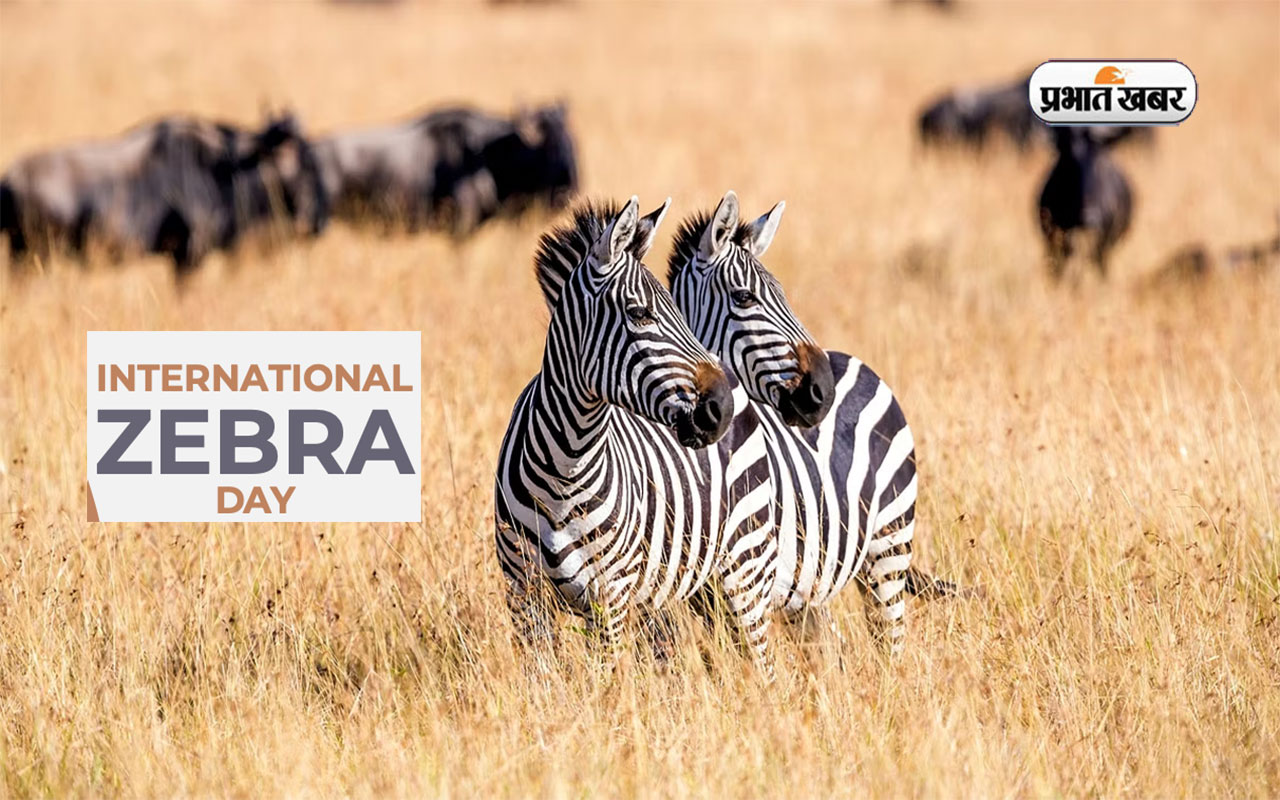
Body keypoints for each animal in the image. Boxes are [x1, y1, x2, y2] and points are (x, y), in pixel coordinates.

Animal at [494, 196, 780, 678]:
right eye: (639, 313)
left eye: (676, 311)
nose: (719, 407)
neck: (565, 464)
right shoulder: (524, 597)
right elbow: (544, 684)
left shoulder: (610, 597)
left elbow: (605, 686)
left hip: (745, 564)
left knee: (763, 660)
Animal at [668, 191, 956, 658]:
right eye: (744, 298)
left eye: (782, 293)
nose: (822, 389)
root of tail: (853, 361)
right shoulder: (705, 597)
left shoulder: (752, 580)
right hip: (812, 586)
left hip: (887, 547)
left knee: (890, 643)